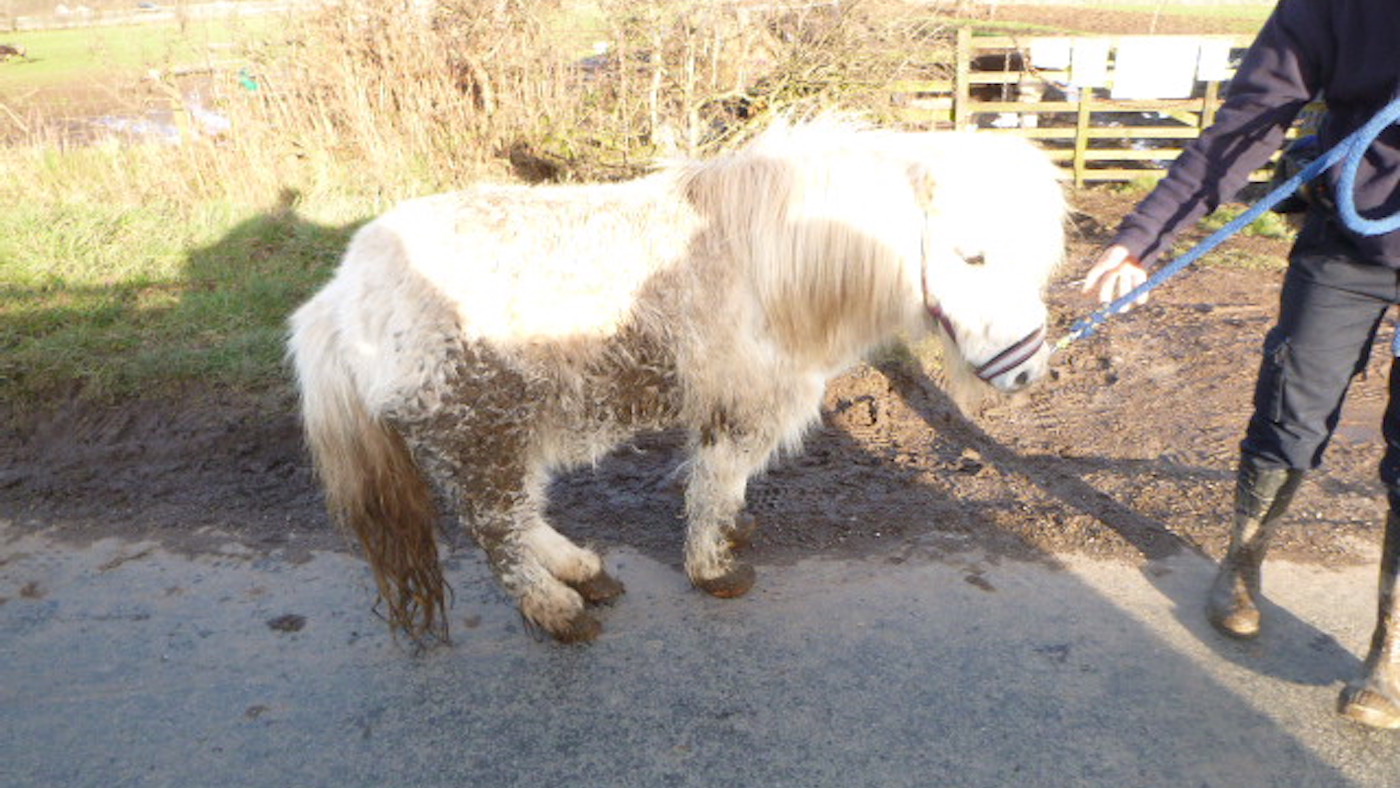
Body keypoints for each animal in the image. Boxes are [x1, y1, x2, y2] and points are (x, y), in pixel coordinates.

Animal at [288, 116, 1066, 643]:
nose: (1027, 369)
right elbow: (714, 482)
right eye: (972, 256)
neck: (782, 268)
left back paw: (582, 570)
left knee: (521, 514)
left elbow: (725, 482)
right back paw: (558, 609)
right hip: (480, 434)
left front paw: (733, 534)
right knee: (497, 527)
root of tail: (342, 298)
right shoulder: (743, 405)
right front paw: (714, 570)